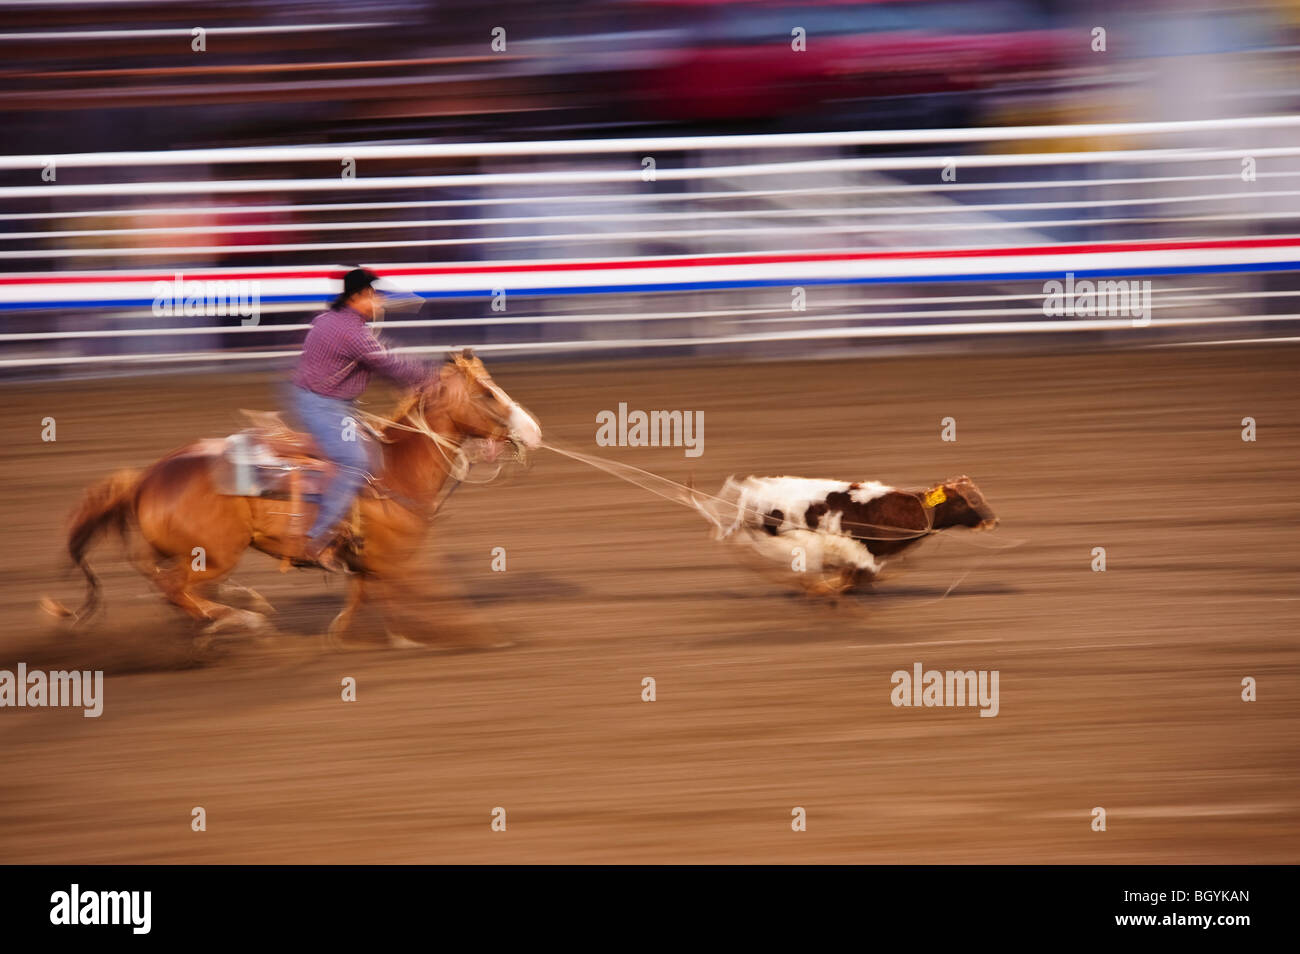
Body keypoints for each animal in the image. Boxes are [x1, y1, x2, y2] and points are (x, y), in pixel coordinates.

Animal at [691, 474, 997, 596]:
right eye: (965, 501)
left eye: (979, 494)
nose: (993, 519)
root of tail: (752, 490)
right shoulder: (857, 550)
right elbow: (858, 575)